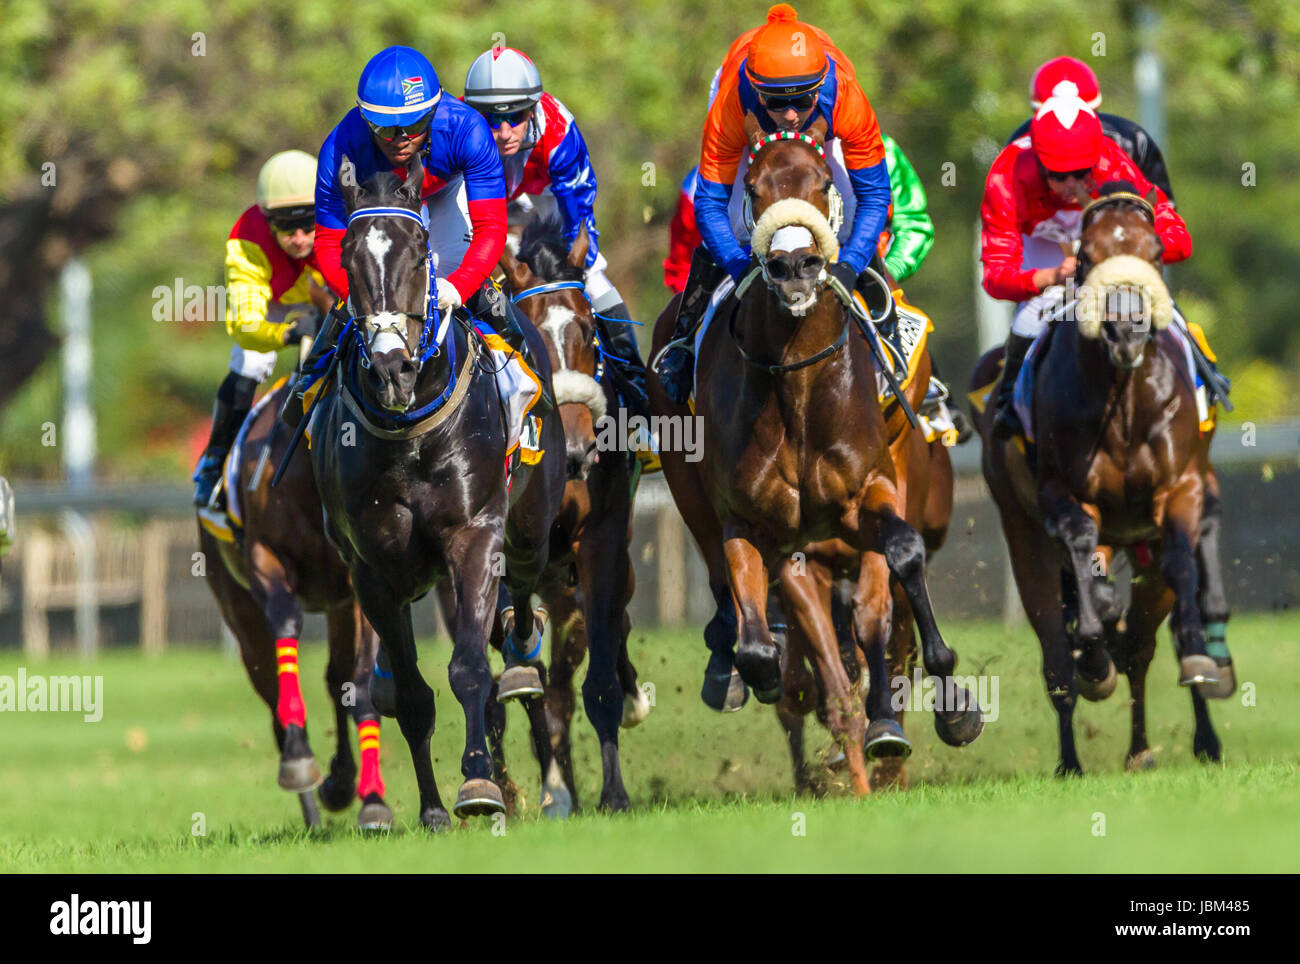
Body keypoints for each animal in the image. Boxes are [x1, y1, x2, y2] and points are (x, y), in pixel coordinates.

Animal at [198, 379, 392, 829]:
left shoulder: (361, 584)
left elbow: (360, 686)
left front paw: (373, 800)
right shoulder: (265, 560)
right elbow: (286, 627)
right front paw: (301, 762)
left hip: (339, 606)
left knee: (337, 678)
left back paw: (340, 783)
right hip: (239, 612)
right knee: (274, 702)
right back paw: (310, 793)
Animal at [309, 157, 565, 825]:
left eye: (420, 247)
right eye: (346, 255)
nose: (392, 367)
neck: (409, 435)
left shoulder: (473, 535)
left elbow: (470, 668)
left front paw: (478, 784)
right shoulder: (372, 569)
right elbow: (412, 695)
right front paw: (430, 809)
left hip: (529, 527)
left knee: (520, 603)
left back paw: (523, 659)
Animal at [490, 214, 652, 813]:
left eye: (588, 330)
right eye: (526, 335)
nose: (581, 450)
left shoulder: (600, 538)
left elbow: (596, 676)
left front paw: (614, 794)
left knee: (605, 631)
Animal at [648, 118, 983, 797]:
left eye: (824, 180)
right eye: (752, 186)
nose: (795, 265)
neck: (799, 388)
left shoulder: (869, 496)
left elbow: (896, 574)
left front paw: (948, 703)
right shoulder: (769, 534)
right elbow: (781, 654)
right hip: (688, 485)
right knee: (727, 592)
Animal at [971, 182, 1232, 775]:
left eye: (1154, 251)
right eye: (1085, 257)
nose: (1127, 329)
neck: (1124, 404)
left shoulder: (1179, 489)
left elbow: (1179, 566)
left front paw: (1199, 653)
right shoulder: (1062, 495)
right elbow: (1081, 564)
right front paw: (1093, 648)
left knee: (1140, 647)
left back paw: (1167, 742)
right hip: (1024, 536)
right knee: (1057, 657)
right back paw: (1073, 753)